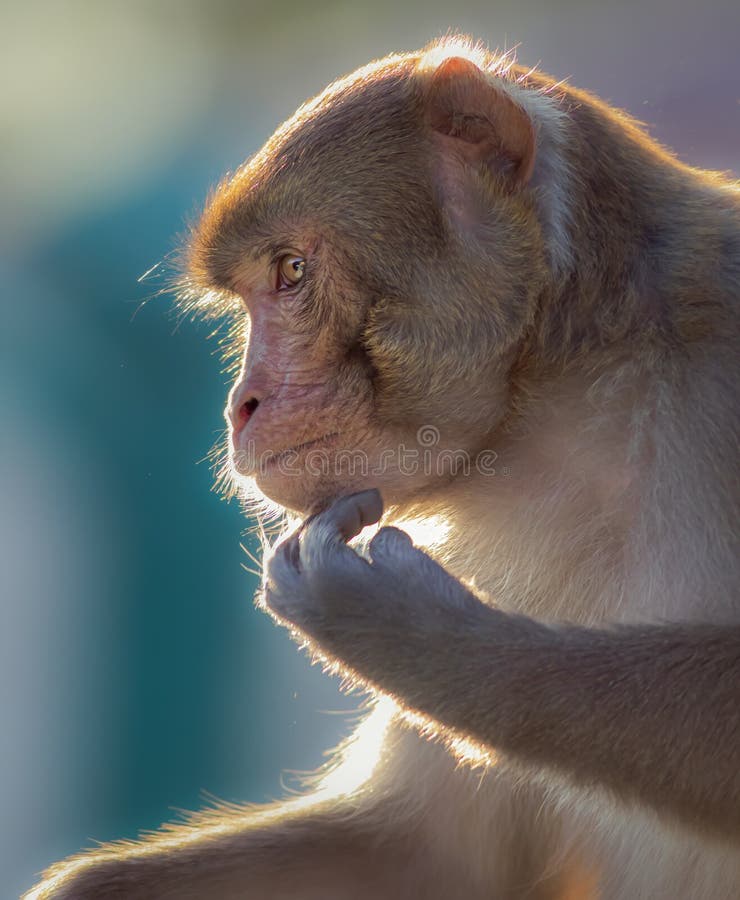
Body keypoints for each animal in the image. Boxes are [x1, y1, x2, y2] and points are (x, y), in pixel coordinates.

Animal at [26, 36, 740, 900]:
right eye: (256, 291)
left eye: (292, 272)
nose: (240, 405)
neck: (574, 384)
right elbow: (422, 854)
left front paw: (428, 646)